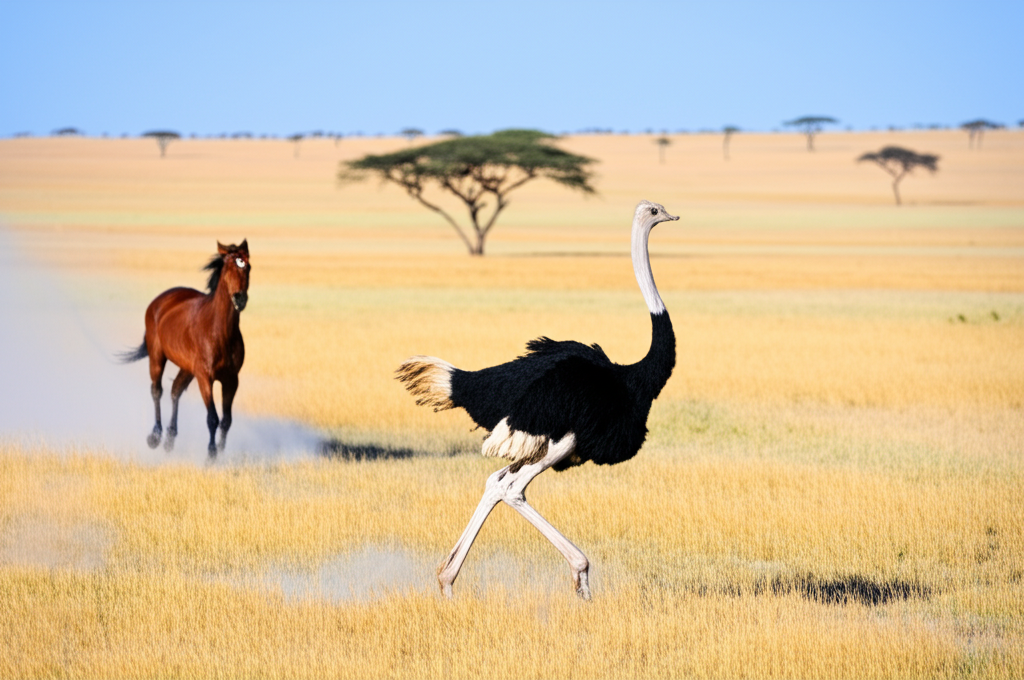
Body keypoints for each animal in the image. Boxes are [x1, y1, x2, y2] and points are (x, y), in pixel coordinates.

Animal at [119, 240, 251, 457]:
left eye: (247, 267)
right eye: (229, 268)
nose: (240, 299)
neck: (219, 332)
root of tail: (159, 301)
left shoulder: (232, 380)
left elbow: (226, 420)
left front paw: (221, 452)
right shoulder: (205, 377)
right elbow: (213, 417)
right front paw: (211, 454)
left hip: (187, 368)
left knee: (175, 391)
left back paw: (170, 439)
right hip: (157, 357)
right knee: (157, 391)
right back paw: (155, 436)